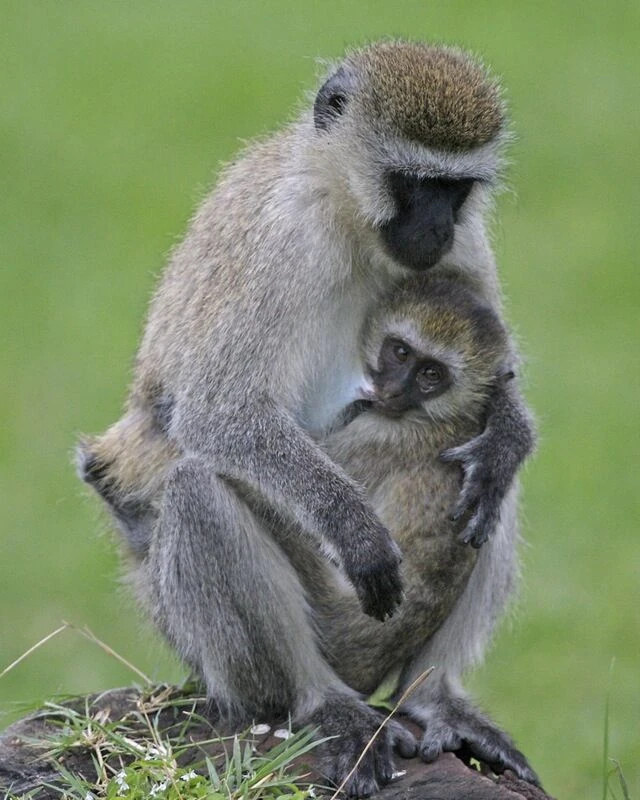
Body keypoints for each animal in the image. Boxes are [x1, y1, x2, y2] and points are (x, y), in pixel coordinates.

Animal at [77, 41, 536, 796]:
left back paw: (432, 697)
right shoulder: (284, 239)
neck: (346, 210)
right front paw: (355, 529)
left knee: (489, 493)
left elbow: (495, 383)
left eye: (455, 189)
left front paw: (508, 433)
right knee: (197, 492)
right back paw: (320, 700)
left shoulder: (464, 249)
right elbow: (220, 411)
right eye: (411, 183)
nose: (436, 227)